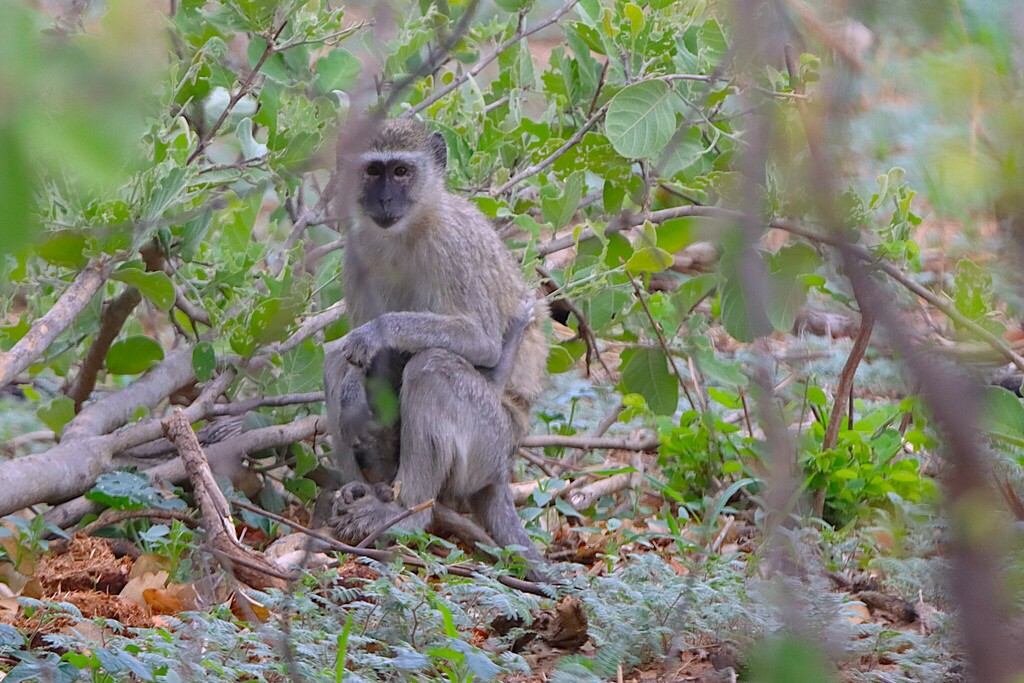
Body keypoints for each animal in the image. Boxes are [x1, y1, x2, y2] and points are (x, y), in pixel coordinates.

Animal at [322, 118, 549, 578]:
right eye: (373, 171)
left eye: (401, 172)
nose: (385, 199)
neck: (405, 232)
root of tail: (503, 470)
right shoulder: (355, 253)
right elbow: (351, 361)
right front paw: (354, 381)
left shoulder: (451, 246)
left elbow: (482, 343)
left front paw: (376, 333)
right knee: (336, 362)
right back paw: (362, 488)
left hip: (489, 439)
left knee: (432, 368)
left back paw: (407, 513)